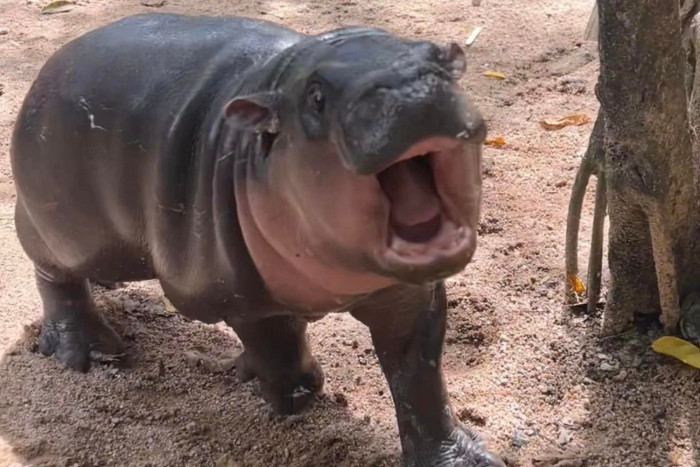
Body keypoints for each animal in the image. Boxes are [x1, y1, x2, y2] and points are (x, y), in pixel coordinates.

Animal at [10, 13, 498, 466]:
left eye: (444, 59)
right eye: (316, 97)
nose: (411, 87)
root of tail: (52, 64)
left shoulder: (410, 294)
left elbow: (420, 381)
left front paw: (460, 458)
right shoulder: (243, 297)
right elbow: (276, 341)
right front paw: (296, 393)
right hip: (69, 231)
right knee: (51, 270)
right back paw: (86, 352)